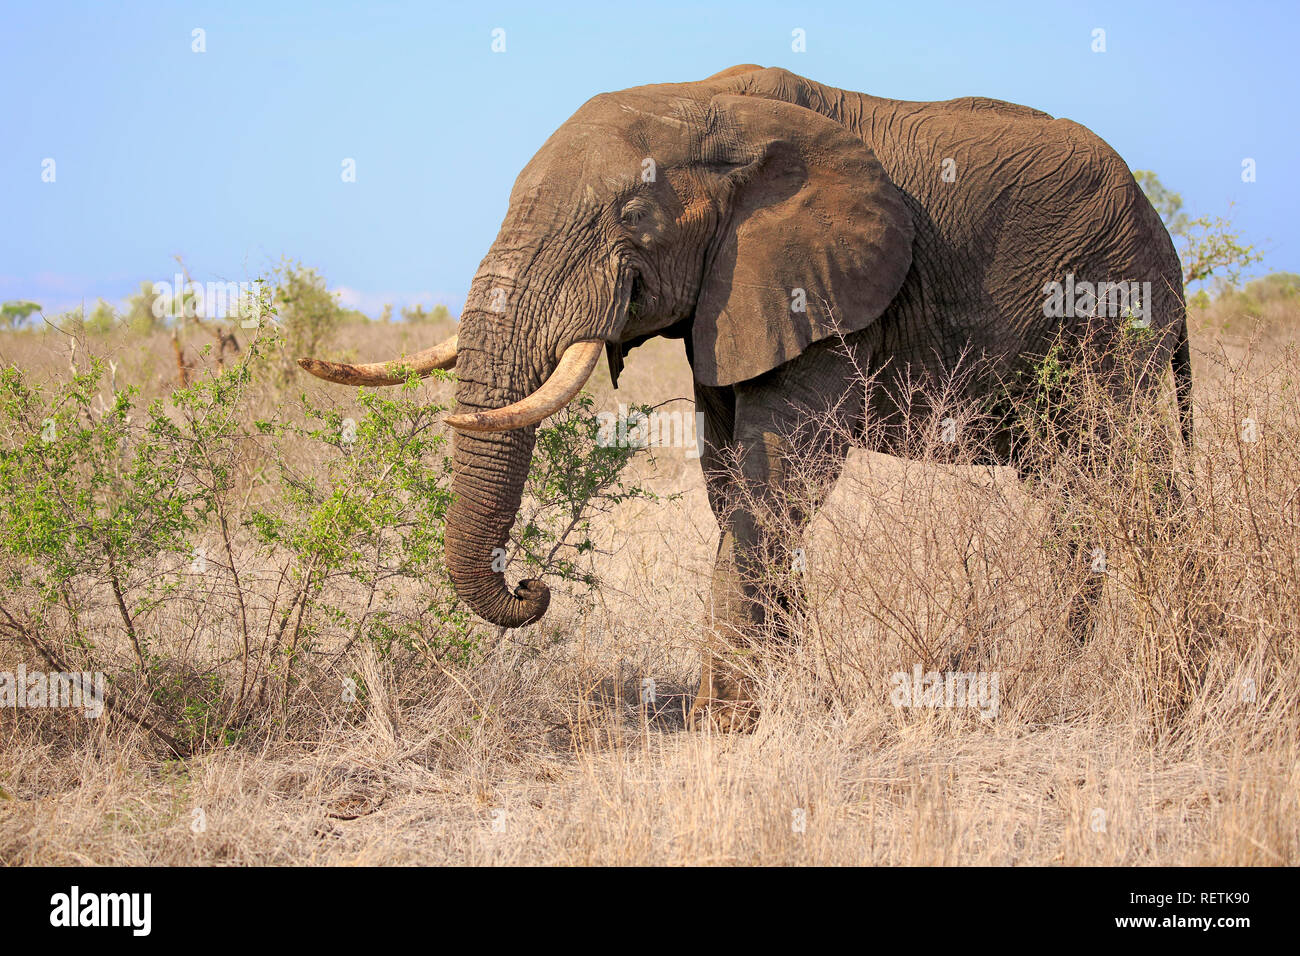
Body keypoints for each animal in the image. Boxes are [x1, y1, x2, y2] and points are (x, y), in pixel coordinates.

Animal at [301, 65, 1191, 731]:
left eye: (631, 215)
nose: (531, 588)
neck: (708, 107)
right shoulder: (734, 296)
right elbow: (730, 480)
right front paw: (765, 705)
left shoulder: (823, 286)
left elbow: (777, 483)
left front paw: (721, 727)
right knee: (1076, 491)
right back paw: (1063, 665)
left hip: (1114, 309)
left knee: (1117, 478)